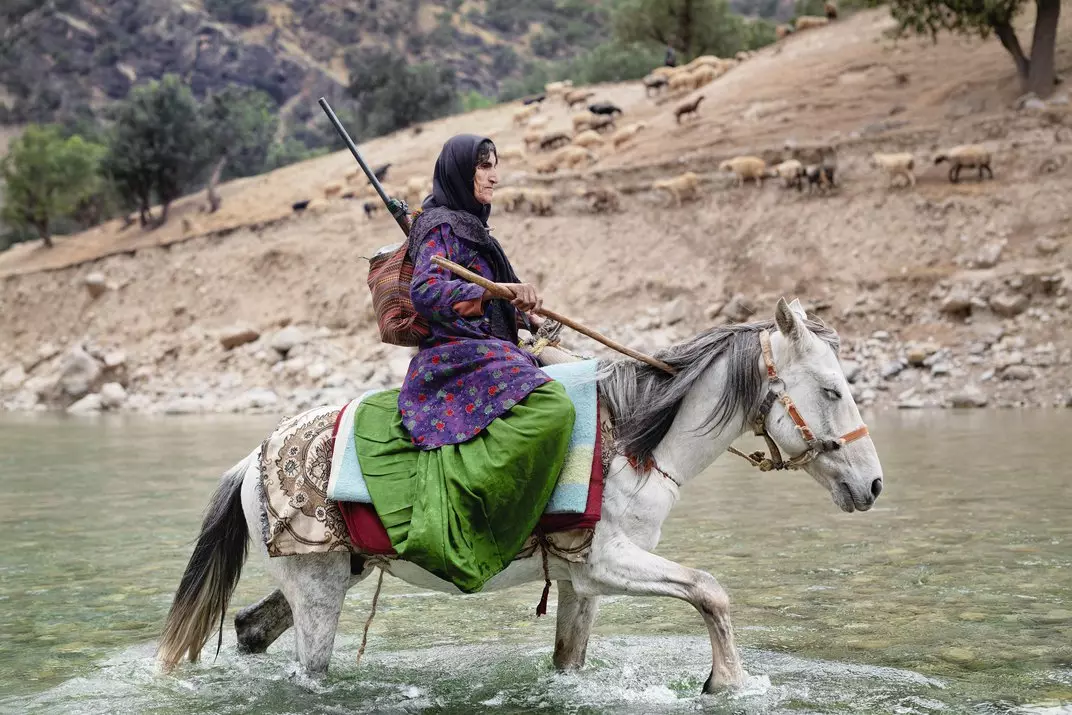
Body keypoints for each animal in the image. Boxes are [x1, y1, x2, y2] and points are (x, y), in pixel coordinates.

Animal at [156, 300, 879, 694]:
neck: (635, 440)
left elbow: (569, 661)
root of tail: (250, 461)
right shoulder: (610, 564)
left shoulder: (581, 583)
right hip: (319, 591)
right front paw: (725, 681)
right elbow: (710, 589)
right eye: (832, 389)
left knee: (251, 629)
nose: (871, 486)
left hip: (333, 574)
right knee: (308, 667)